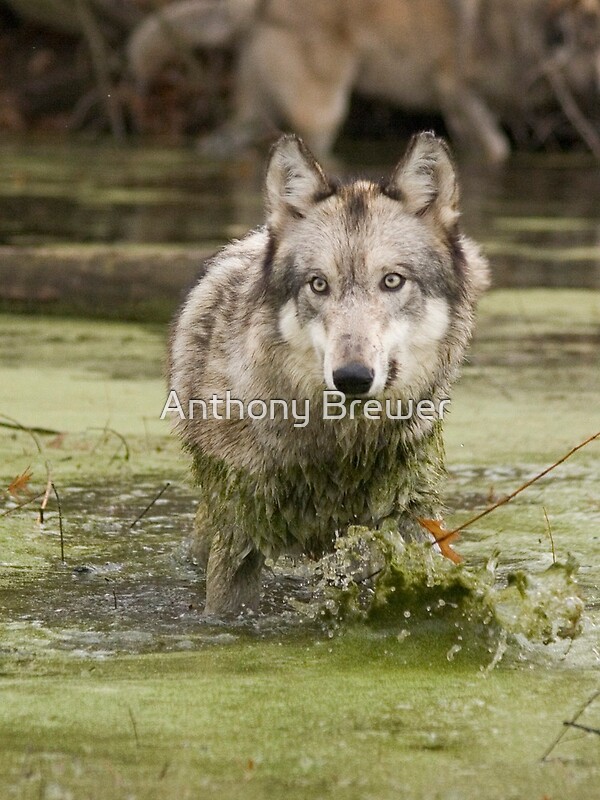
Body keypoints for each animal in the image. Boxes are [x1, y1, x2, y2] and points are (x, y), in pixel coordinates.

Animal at [167, 131, 489, 616]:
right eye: (319, 284)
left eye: (392, 281)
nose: (352, 377)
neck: (340, 449)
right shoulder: (237, 540)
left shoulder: (407, 524)